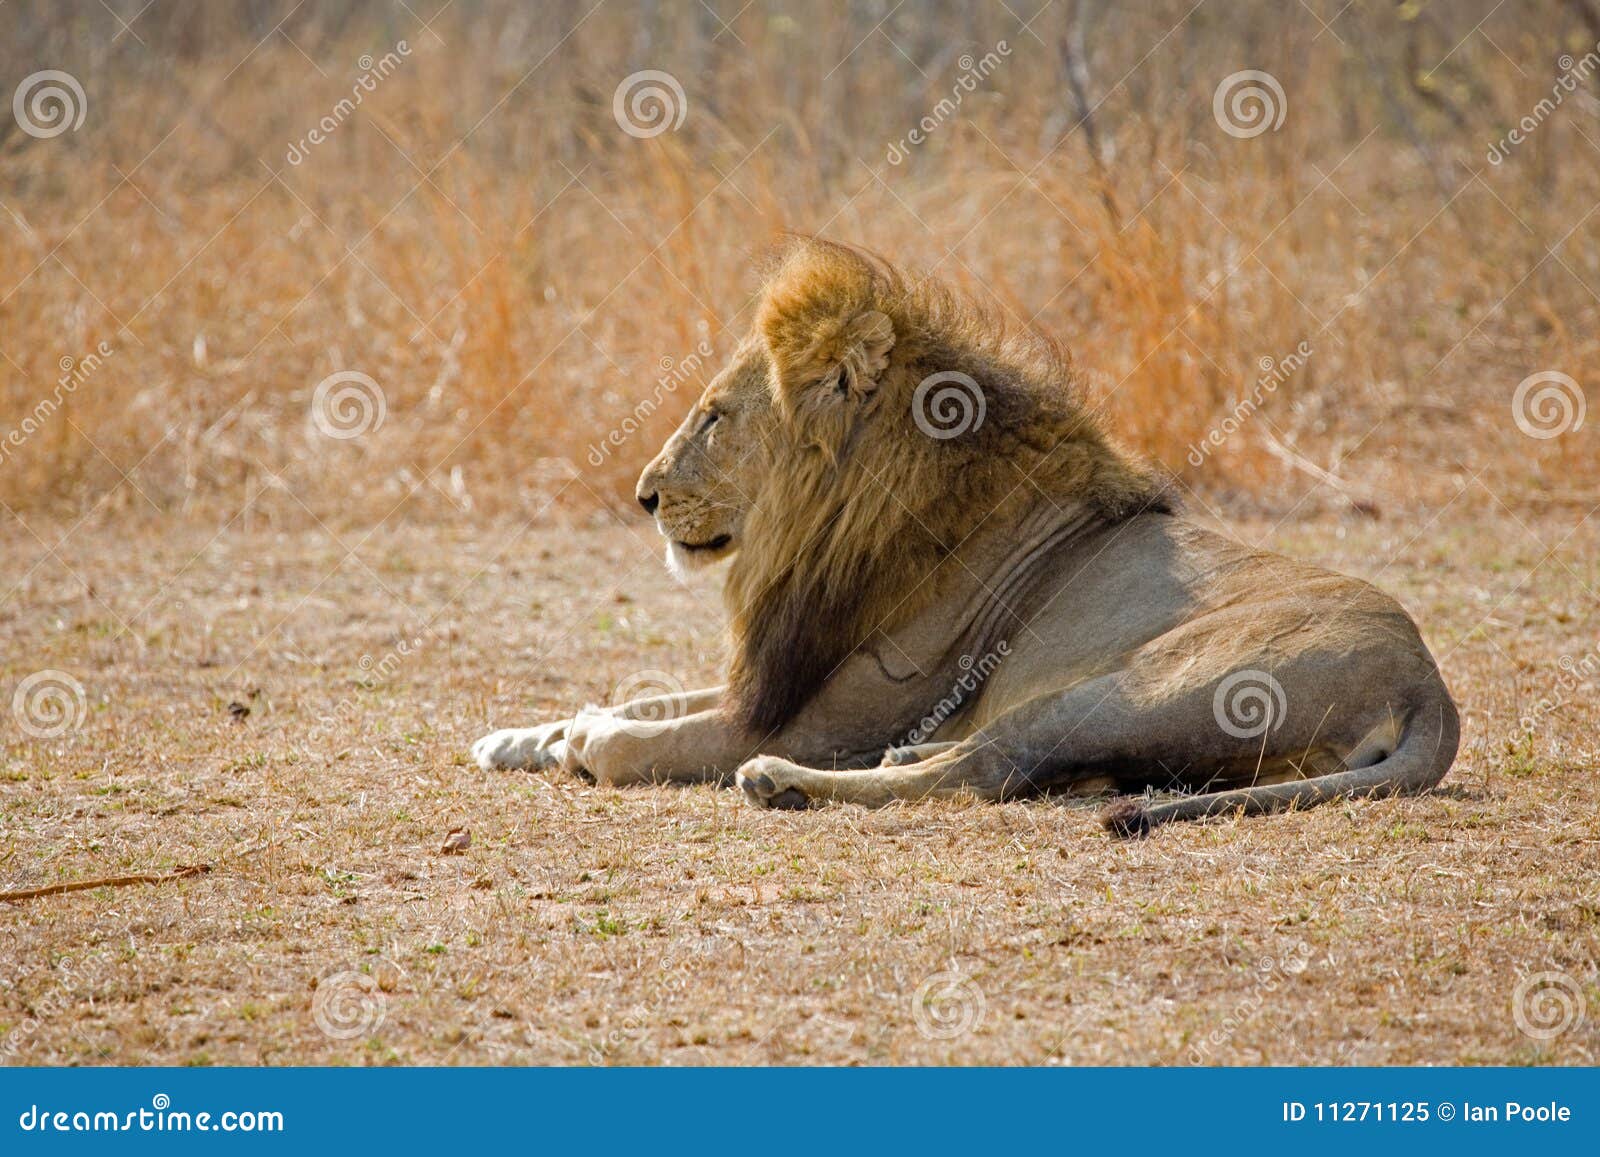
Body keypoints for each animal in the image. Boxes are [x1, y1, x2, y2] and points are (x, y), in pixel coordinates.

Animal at [473, 238, 1459, 835]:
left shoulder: (825, 716)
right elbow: (639, 698)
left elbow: (639, 739)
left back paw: (782, 782)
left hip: (1137, 683)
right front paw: (522, 734)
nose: (642, 496)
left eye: (713, 416)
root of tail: (1430, 688)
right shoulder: (788, 678)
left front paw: (583, 741)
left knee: (988, 764)